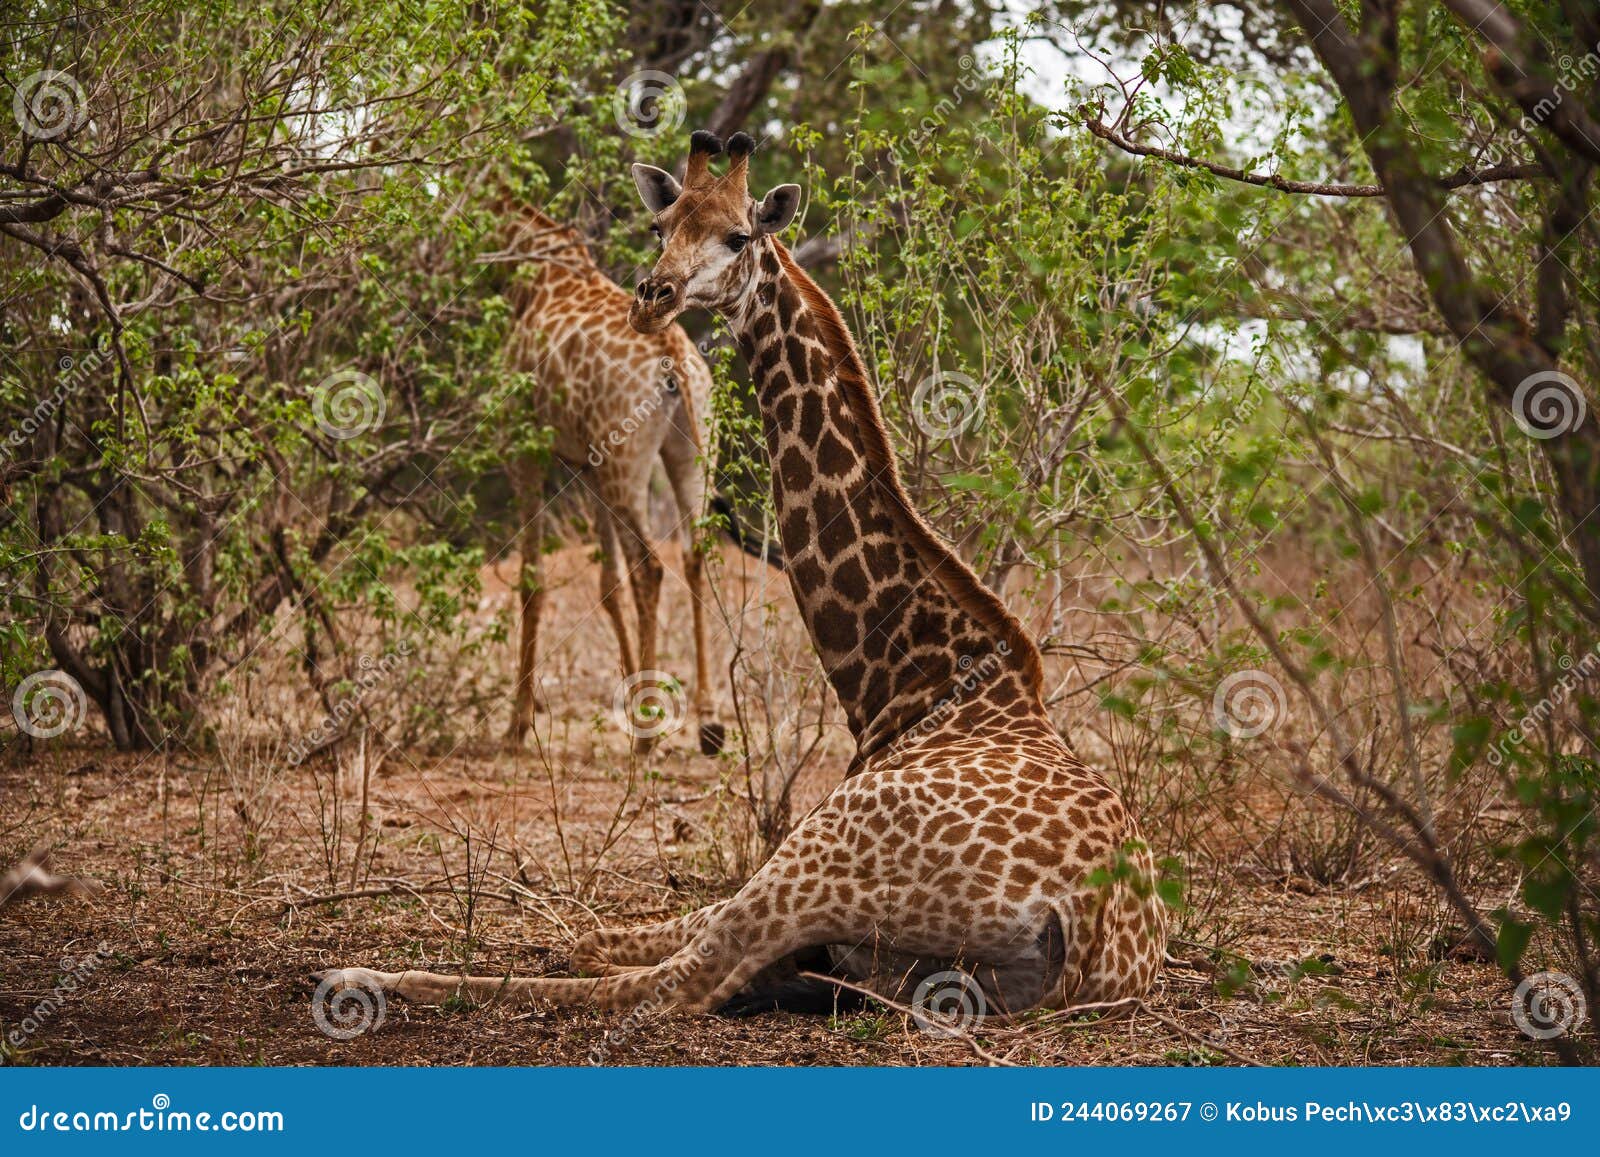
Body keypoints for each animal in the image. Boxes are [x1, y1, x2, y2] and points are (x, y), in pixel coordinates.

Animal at [497, 205, 769, 755]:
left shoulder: (526, 450)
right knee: (694, 555)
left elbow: (534, 580)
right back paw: (707, 720)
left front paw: (518, 724)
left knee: (651, 566)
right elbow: (607, 582)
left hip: (627, 464)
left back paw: (647, 732)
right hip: (689, 449)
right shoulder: (586, 463)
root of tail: (673, 359)